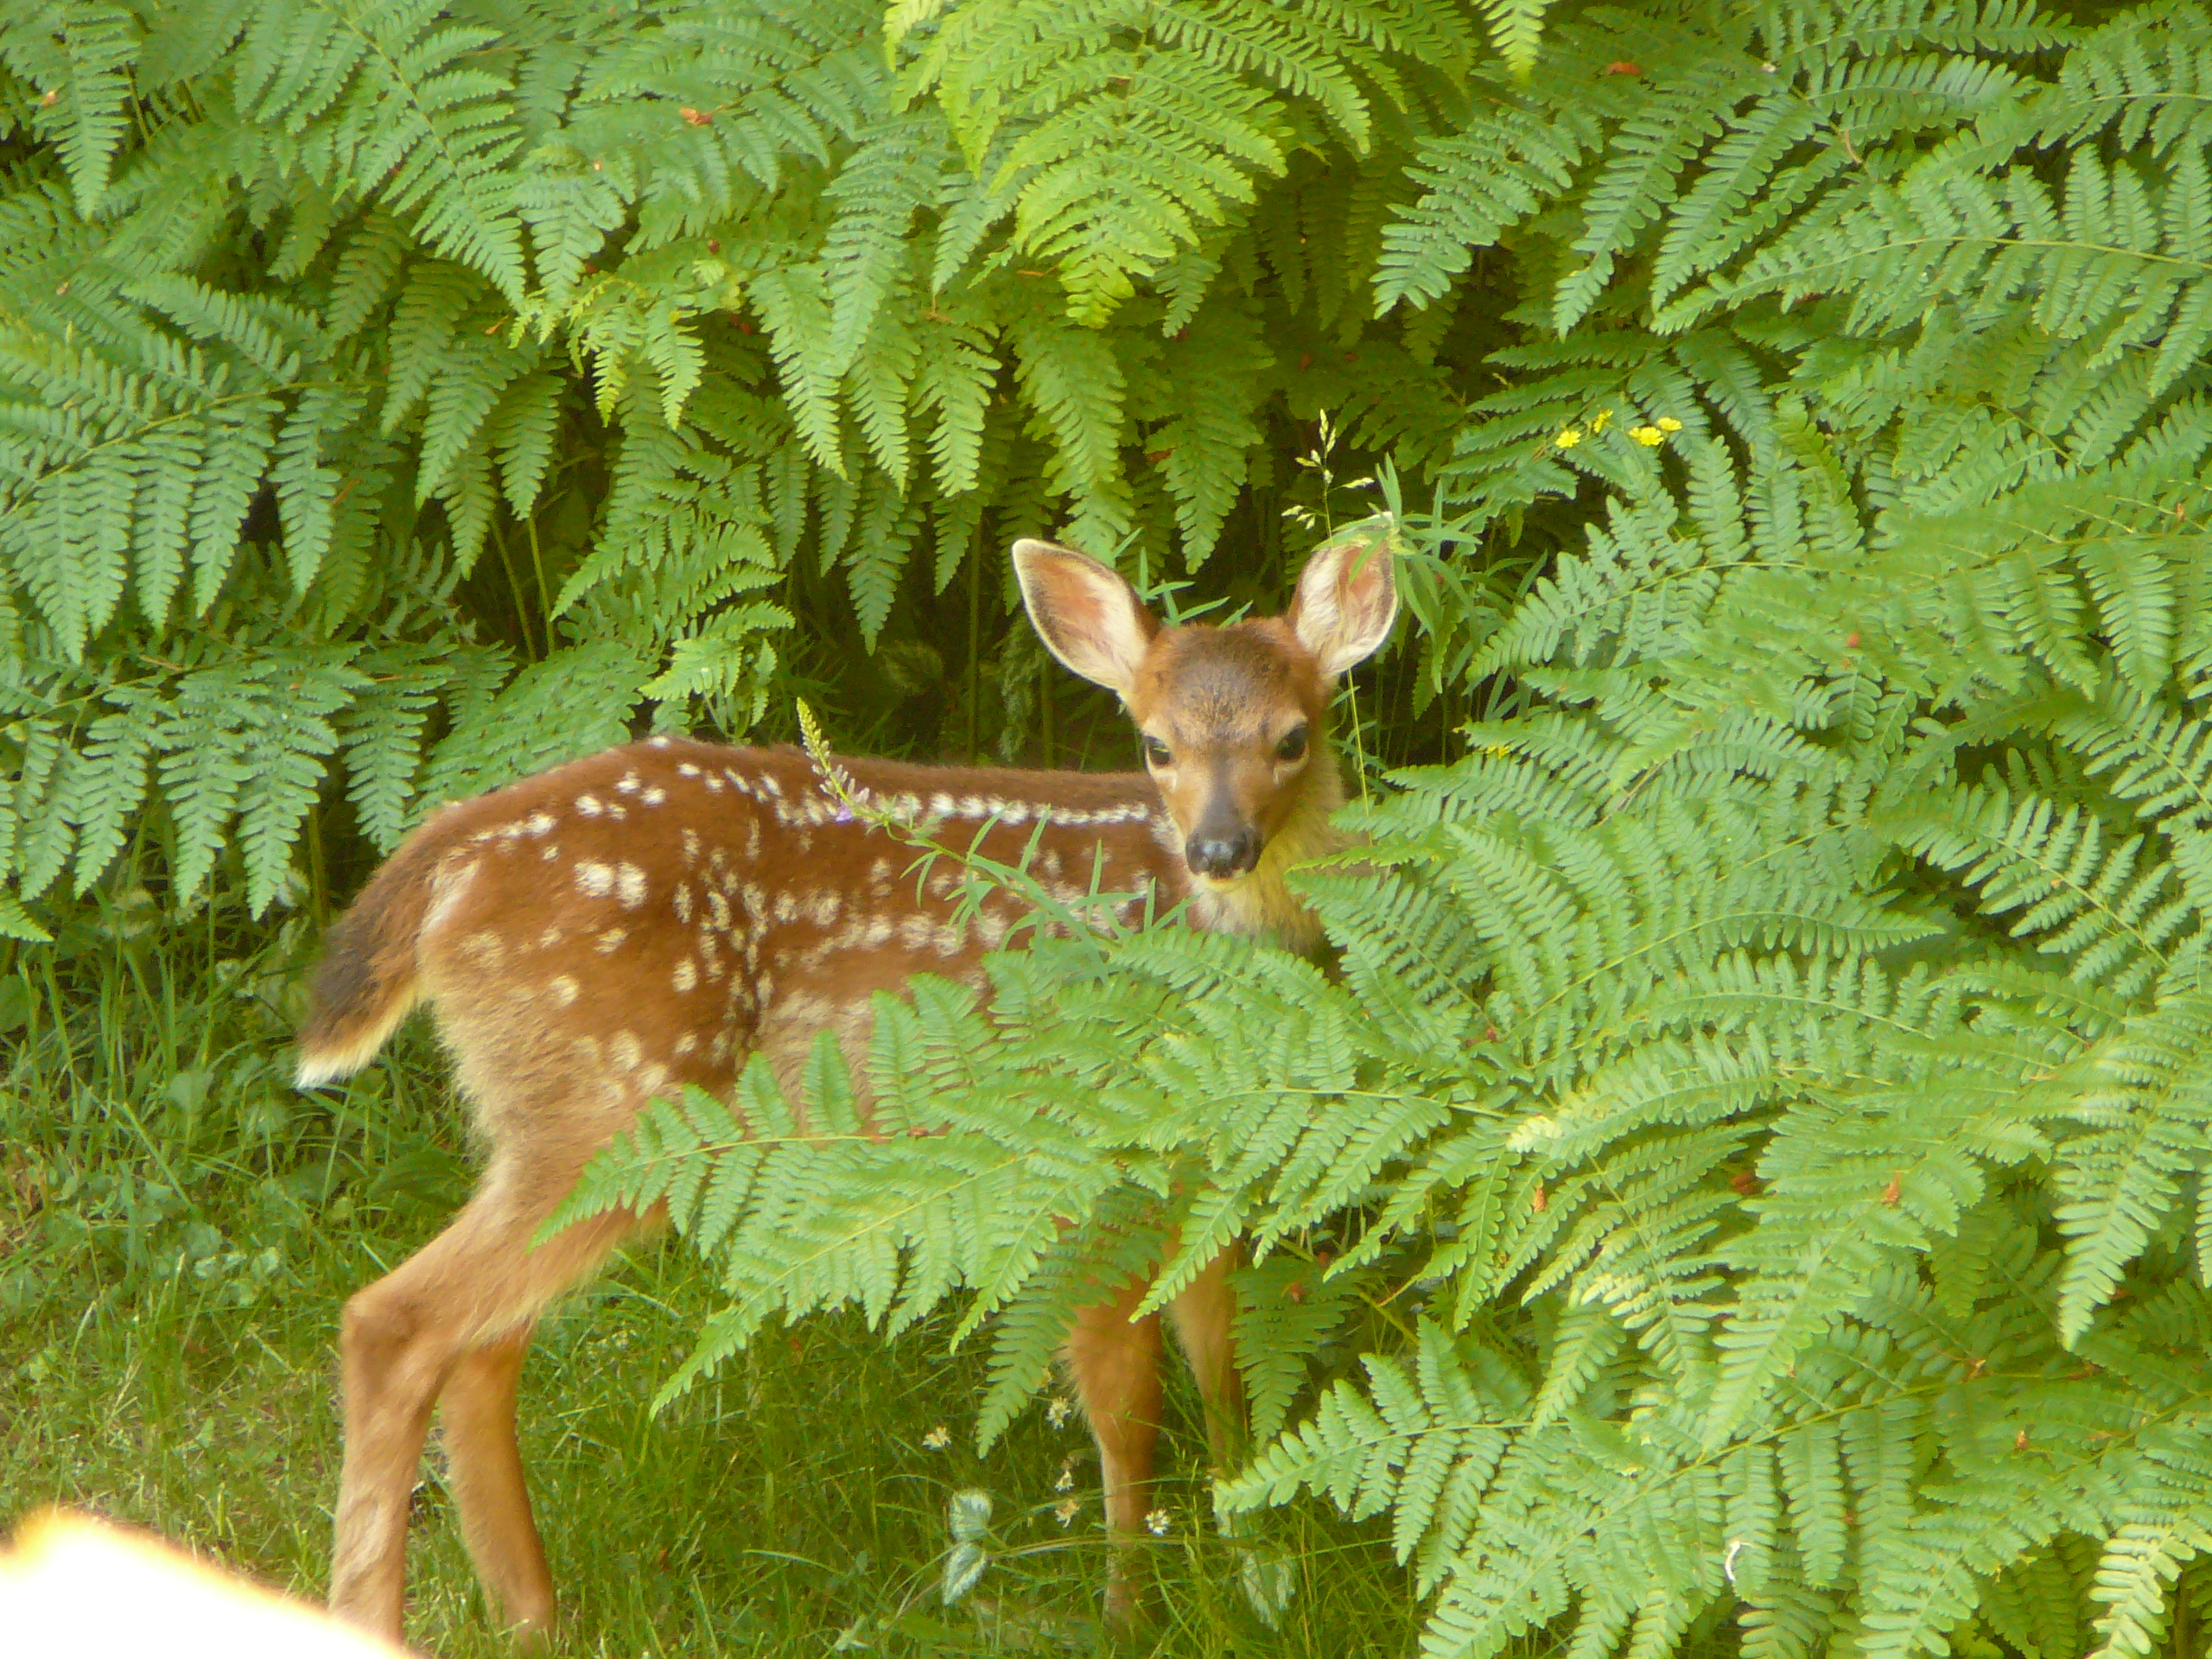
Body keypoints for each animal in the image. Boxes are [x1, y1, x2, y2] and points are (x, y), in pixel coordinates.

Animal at [293, 530, 1399, 1646]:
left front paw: (1243, 1546)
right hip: (612, 1097)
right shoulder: (1073, 1152)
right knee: (394, 1323)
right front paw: (1128, 1609)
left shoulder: (1199, 1163)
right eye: (1155, 745)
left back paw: (534, 1617)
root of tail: (446, 861)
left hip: (554, 1117)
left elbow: (1221, 1359)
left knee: (480, 1348)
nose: (1218, 849)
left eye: (1292, 736)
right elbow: (1124, 1400)